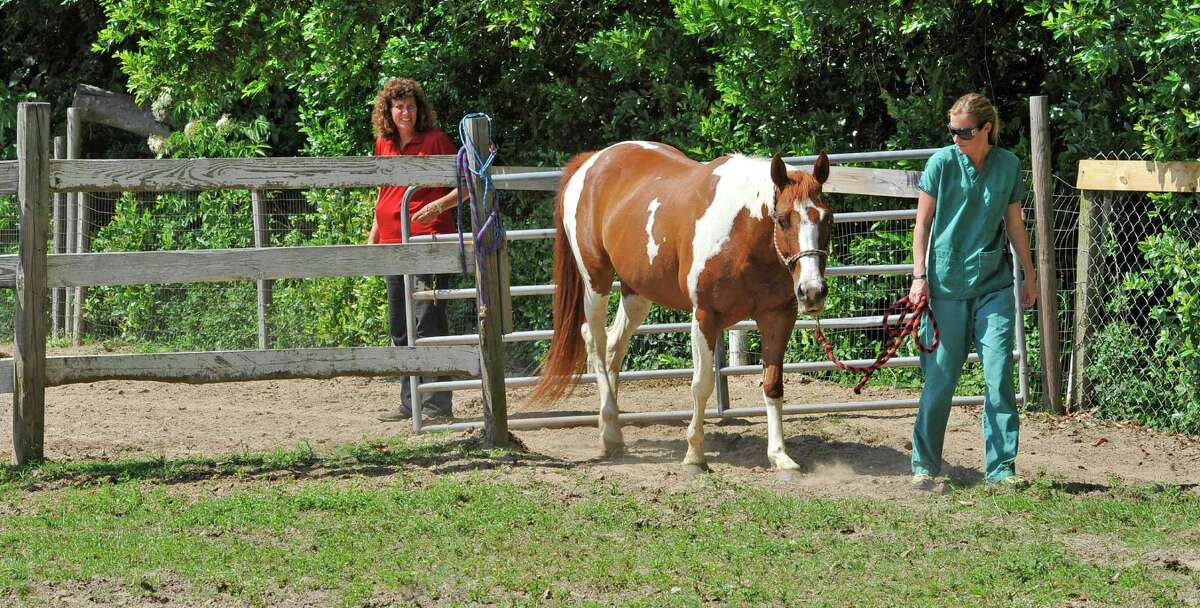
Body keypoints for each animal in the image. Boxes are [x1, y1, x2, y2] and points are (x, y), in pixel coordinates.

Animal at [529, 141, 832, 477]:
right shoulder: (704, 317)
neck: (743, 233)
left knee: (614, 345)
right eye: (782, 220)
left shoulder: (778, 317)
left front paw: (780, 456)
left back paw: (614, 431)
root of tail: (591, 161)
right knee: (594, 339)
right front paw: (694, 455)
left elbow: (772, 384)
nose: (812, 291)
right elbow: (701, 386)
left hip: (637, 291)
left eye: (827, 219)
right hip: (596, 281)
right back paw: (608, 433)